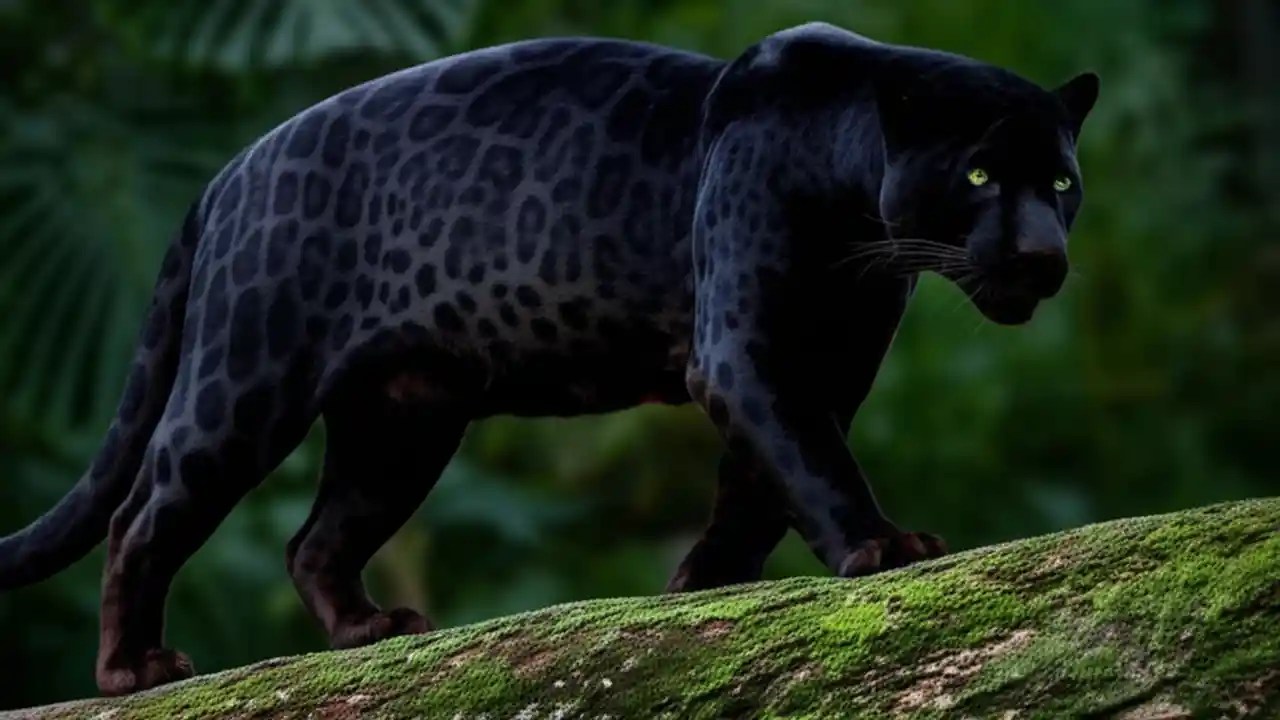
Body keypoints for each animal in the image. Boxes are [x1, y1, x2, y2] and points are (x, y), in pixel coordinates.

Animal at [0, 22, 1098, 695]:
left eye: (1059, 182)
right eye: (977, 174)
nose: (1047, 257)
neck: (858, 212)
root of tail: (227, 173)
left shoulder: (825, 361)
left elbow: (757, 481)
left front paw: (704, 588)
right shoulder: (742, 350)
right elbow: (811, 462)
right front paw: (880, 548)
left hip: (404, 422)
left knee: (313, 539)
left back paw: (366, 632)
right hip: (247, 382)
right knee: (143, 515)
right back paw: (132, 671)